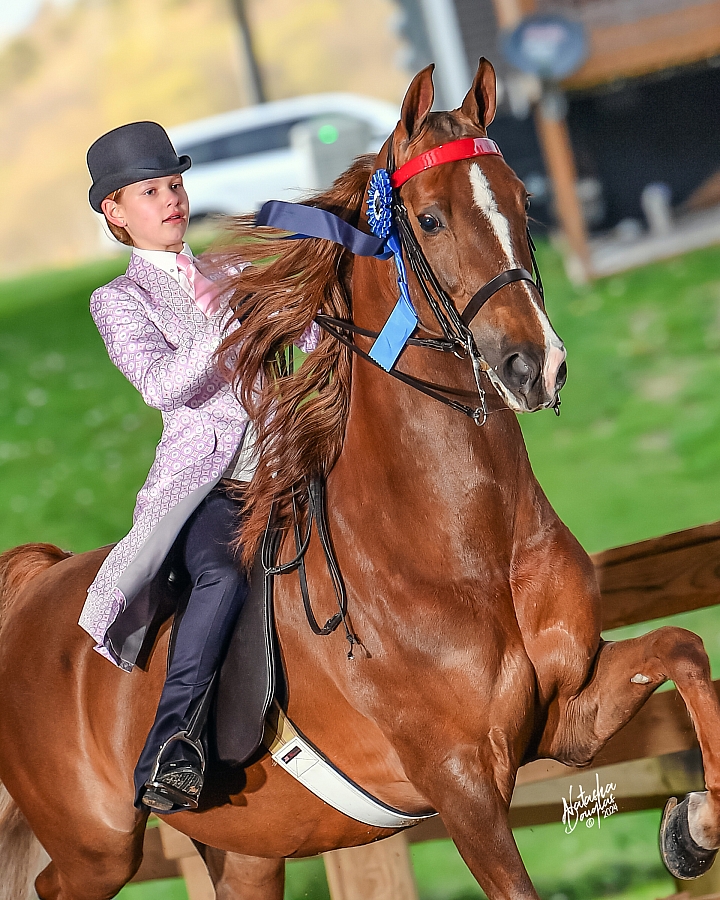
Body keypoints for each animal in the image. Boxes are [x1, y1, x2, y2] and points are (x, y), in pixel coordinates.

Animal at [1, 58, 719, 900]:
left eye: (522, 201)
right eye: (431, 220)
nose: (536, 366)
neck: (469, 546)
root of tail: (36, 585)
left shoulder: (569, 712)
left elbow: (682, 647)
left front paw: (694, 825)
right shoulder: (459, 781)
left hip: (246, 850)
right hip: (98, 849)